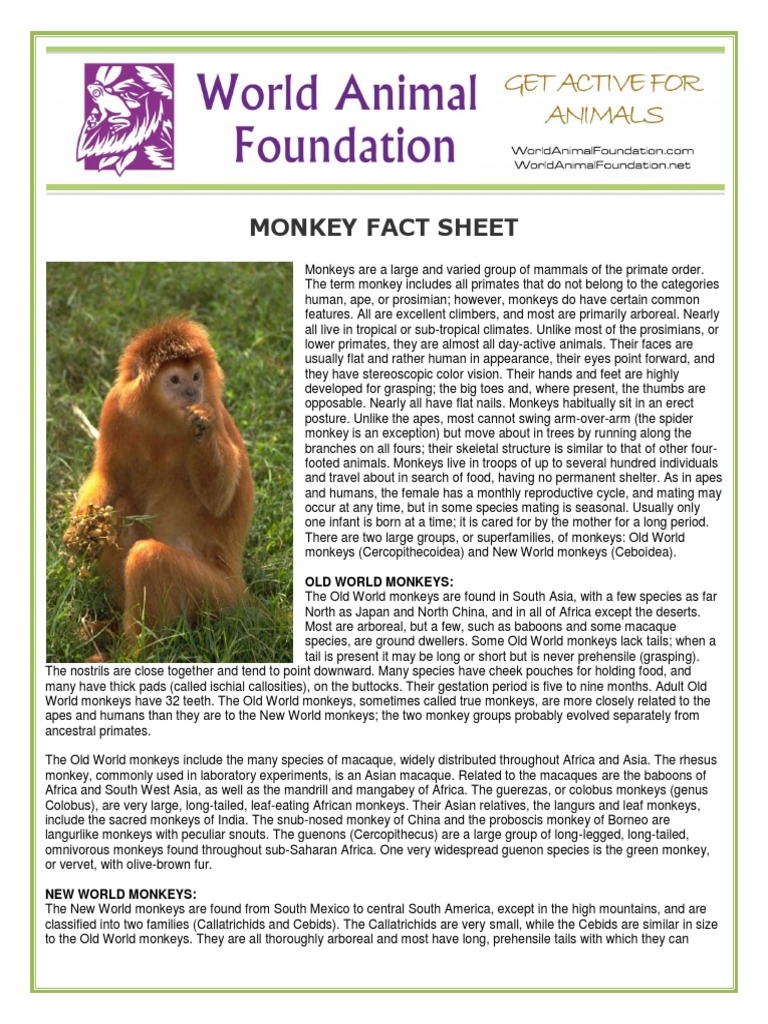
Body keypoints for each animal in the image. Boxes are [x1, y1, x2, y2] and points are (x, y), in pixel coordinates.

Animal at [67, 317, 254, 651]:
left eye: (196, 376)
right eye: (176, 380)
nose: (192, 392)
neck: (163, 420)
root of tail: (241, 590)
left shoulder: (215, 408)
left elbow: (219, 501)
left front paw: (202, 426)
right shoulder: (115, 404)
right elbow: (109, 475)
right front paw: (80, 530)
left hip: (218, 597)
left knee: (149, 559)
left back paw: (130, 653)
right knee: (120, 509)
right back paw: (107, 627)